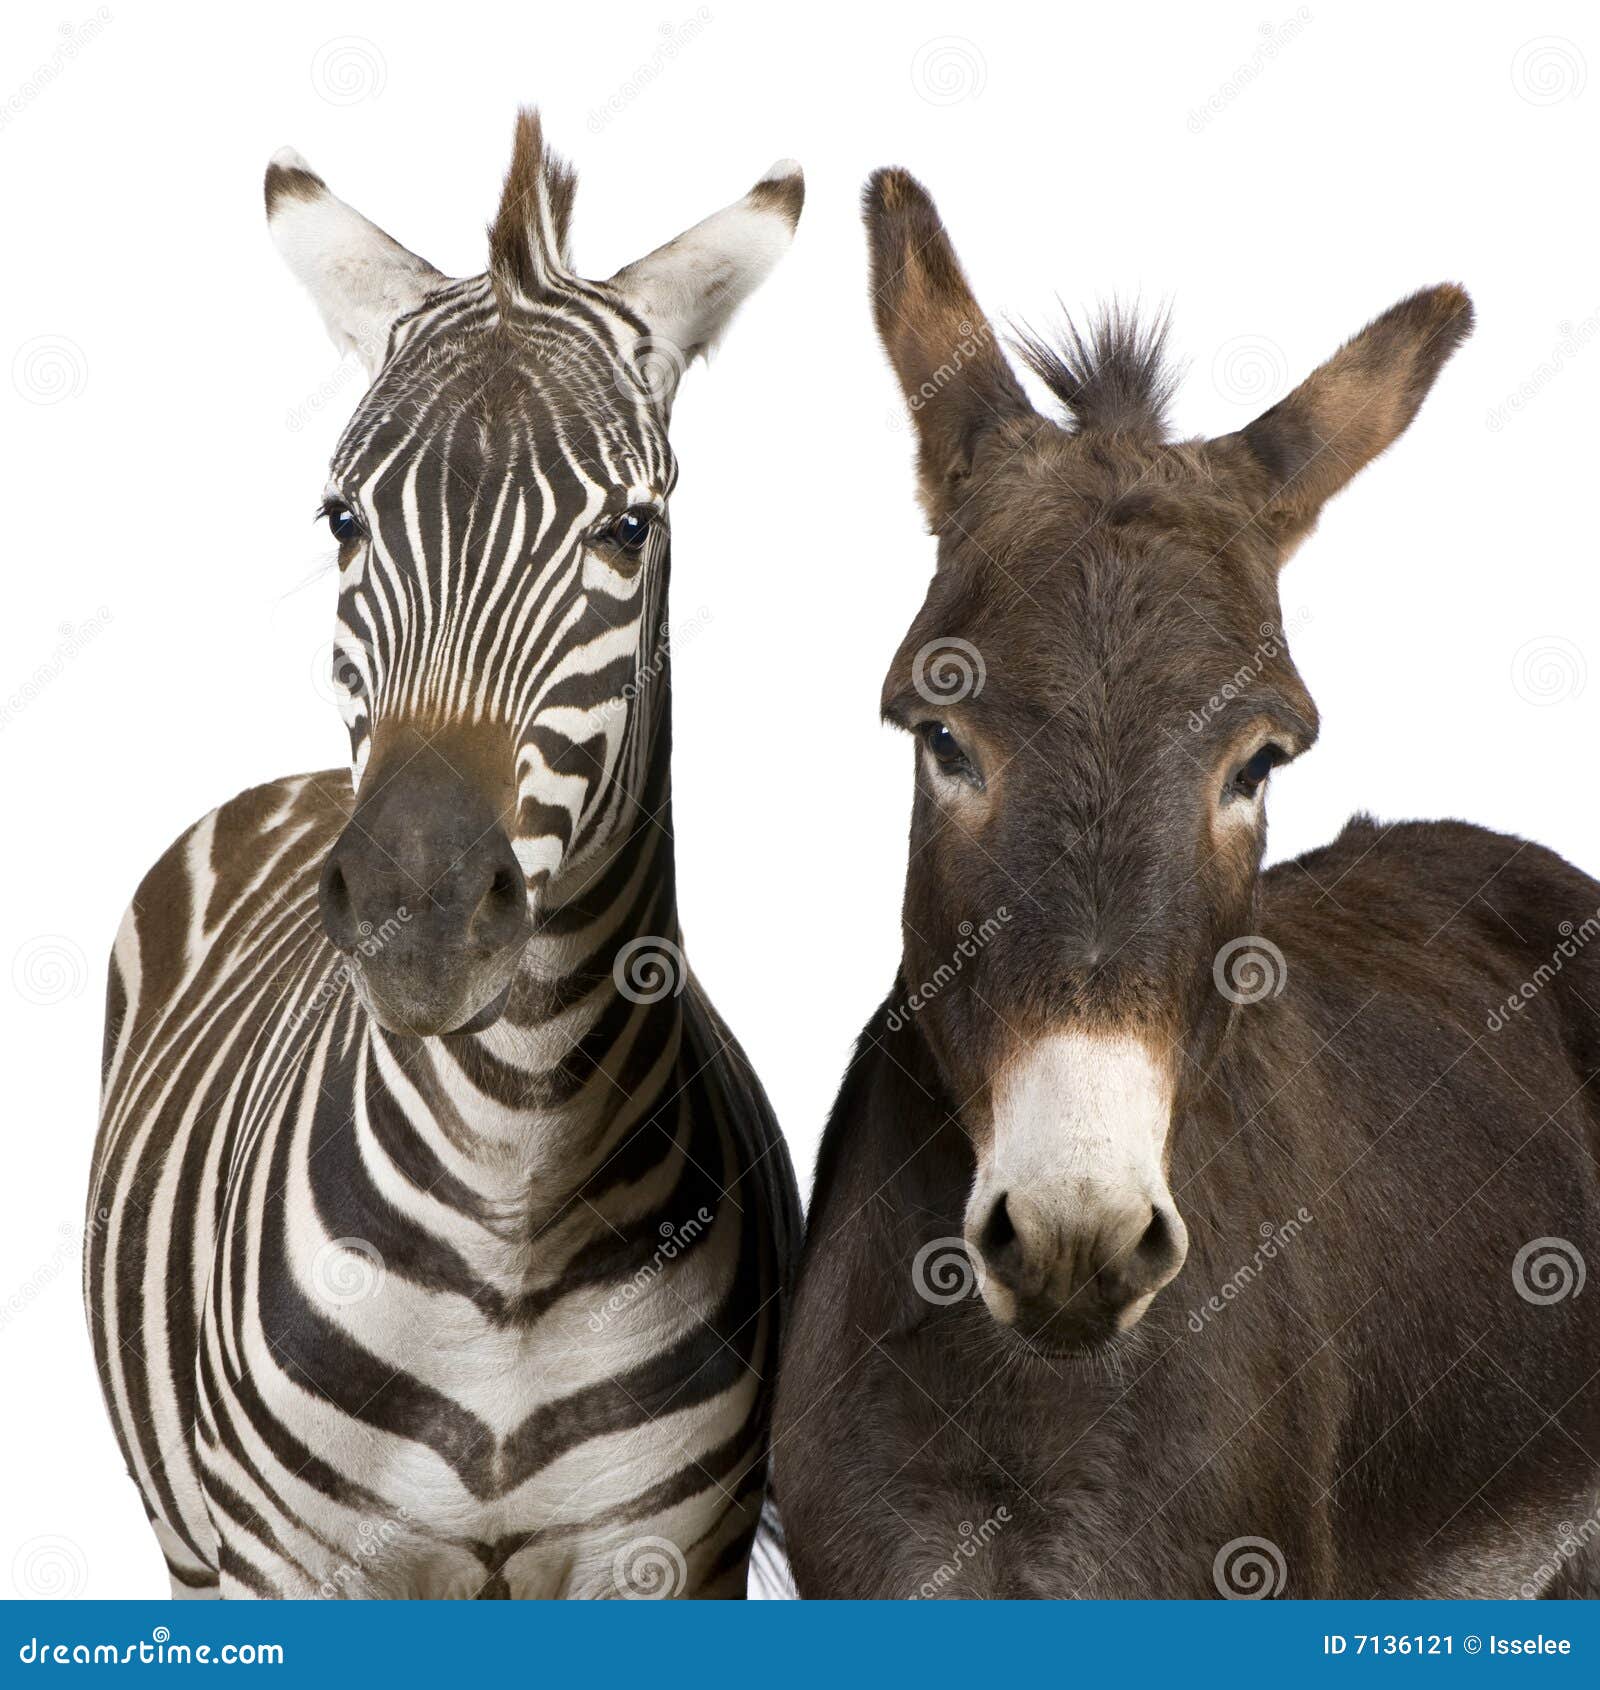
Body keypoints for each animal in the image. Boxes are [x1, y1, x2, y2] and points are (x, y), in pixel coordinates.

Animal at [85, 112, 803, 1600]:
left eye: (628, 529)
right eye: (342, 520)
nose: (414, 905)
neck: (511, 1201)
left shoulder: (673, 1554)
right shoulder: (287, 1567)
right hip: (184, 1544)